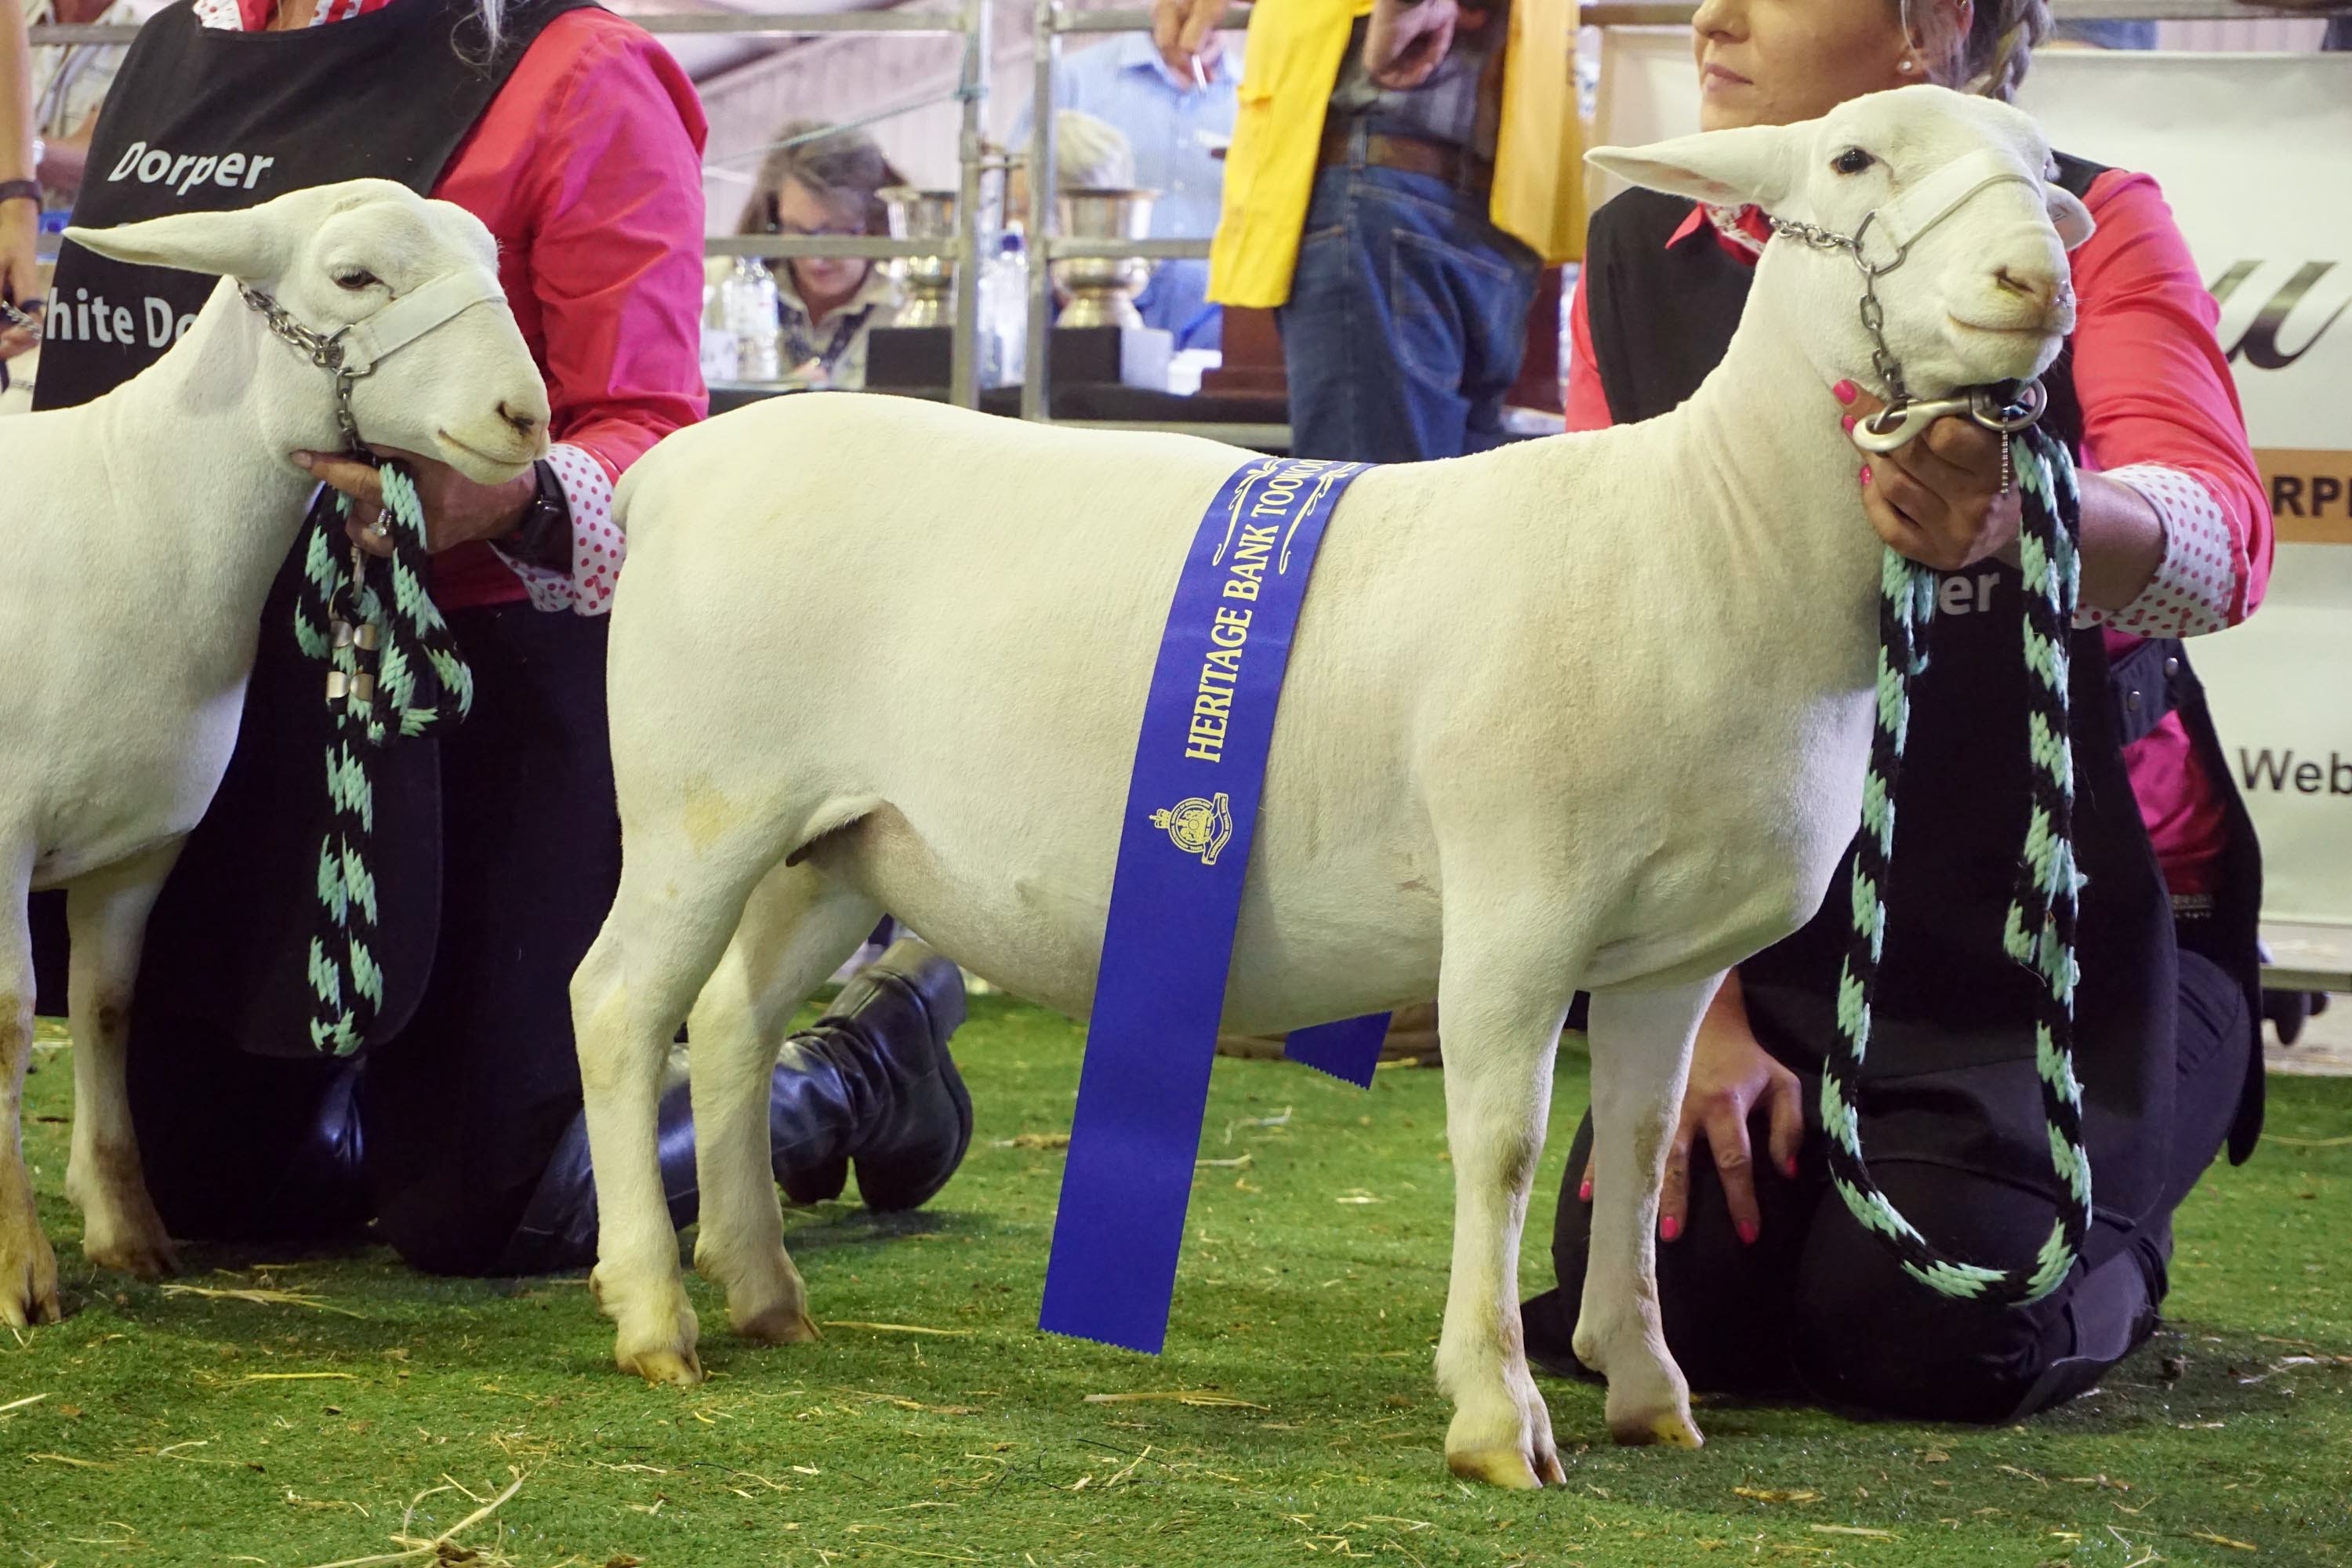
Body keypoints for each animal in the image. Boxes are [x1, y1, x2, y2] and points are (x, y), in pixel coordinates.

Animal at [0, 180, 550, 1327]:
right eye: (353, 276)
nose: (526, 419)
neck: (136, 514)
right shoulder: (1, 832)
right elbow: (14, 1019)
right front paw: (19, 1266)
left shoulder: (145, 842)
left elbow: (109, 1009)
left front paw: (128, 1229)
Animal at [573, 86, 2088, 1487]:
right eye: (1850, 160)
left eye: (2051, 177)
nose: (2038, 280)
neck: (1709, 531)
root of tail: (673, 469)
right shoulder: (1515, 910)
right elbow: (1503, 1149)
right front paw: (1497, 1413)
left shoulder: (1671, 957)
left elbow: (1644, 1145)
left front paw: (1648, 1385)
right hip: (700, 803)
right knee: (622, 1006)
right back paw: (652, 1312)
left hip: (838, 840)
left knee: (733, 1018)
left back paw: (763, 1288)